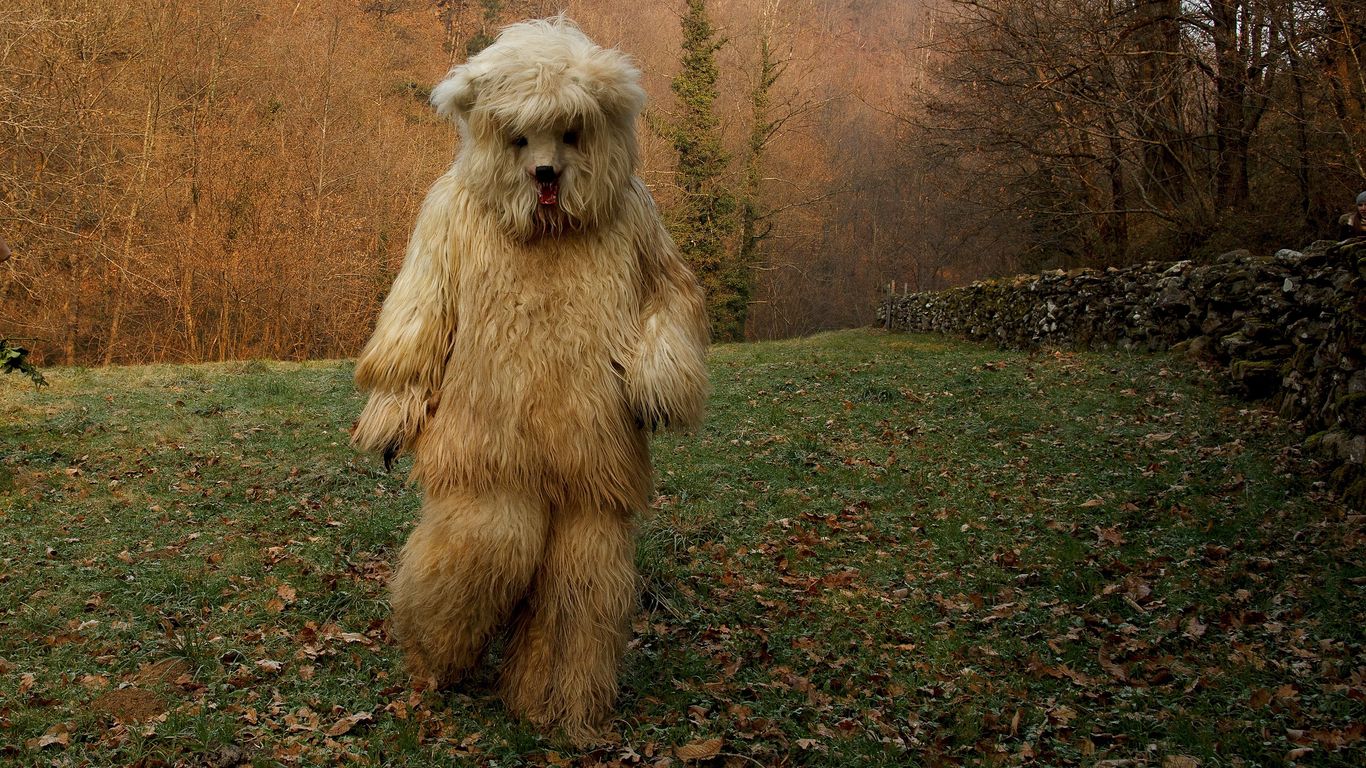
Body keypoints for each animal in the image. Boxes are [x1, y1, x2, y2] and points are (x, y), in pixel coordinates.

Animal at [349, 17, 709, 742]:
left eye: (571, 133)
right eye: (518, 138)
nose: (545, 171)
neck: (545, 226)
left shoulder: (640, 223)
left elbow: (670, 296)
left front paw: (653, 388)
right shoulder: (444, 227)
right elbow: (422, 322)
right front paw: (390, 418)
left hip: (593, 477)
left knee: (583, 580)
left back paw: (557, 702)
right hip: (503, 460)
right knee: (506, 546)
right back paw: (439, 660)